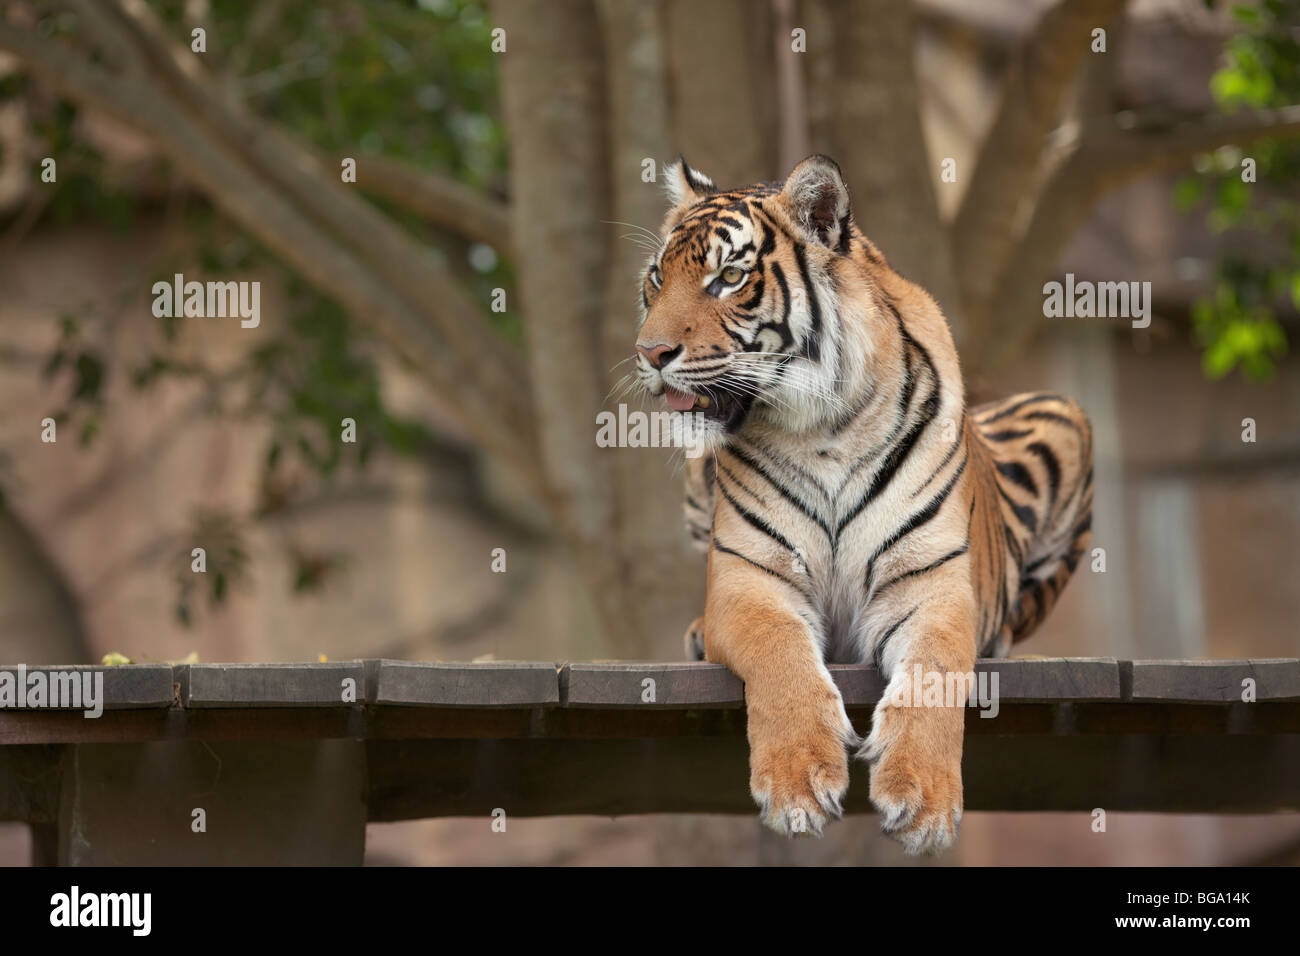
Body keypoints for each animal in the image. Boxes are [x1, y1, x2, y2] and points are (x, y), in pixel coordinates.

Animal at [633, 155, 1093, 854]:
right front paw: (798, 785)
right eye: (657, 279)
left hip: (1066, 418)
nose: (650, 354)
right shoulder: (749, 581)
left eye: (729, 277)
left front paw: (924, 800)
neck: (823, 429)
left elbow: (936, 671)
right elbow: (779, 653)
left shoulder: (930, 588)